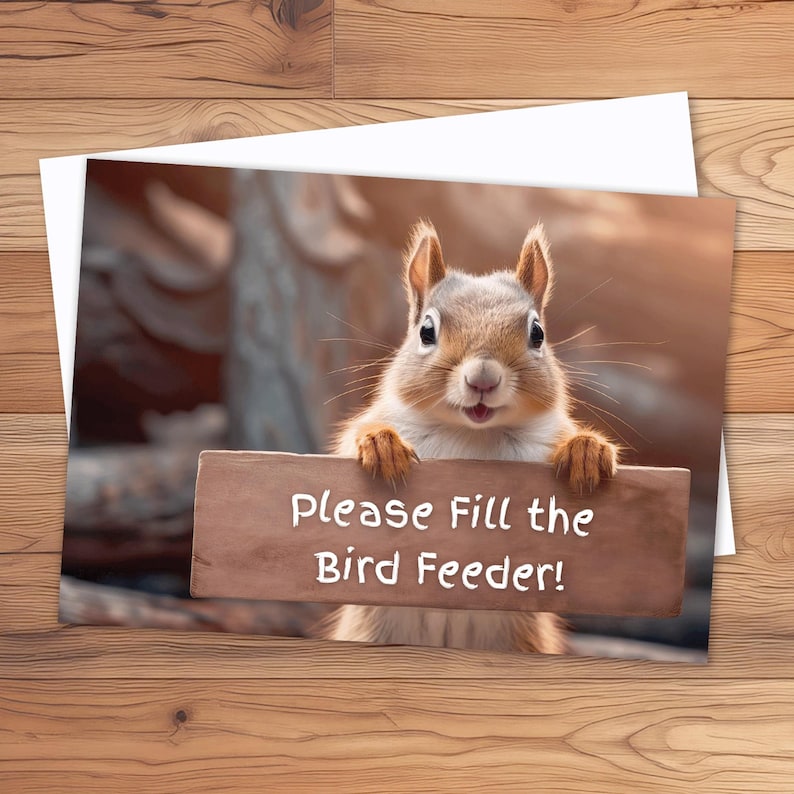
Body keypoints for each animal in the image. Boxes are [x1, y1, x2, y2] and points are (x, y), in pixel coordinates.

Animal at [321, 220, 619, 653]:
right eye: (426, 331)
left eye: (538, 333)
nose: (483, 378)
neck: (471, 434)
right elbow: (348, 448)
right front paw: (381, 444)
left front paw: (586, 449)